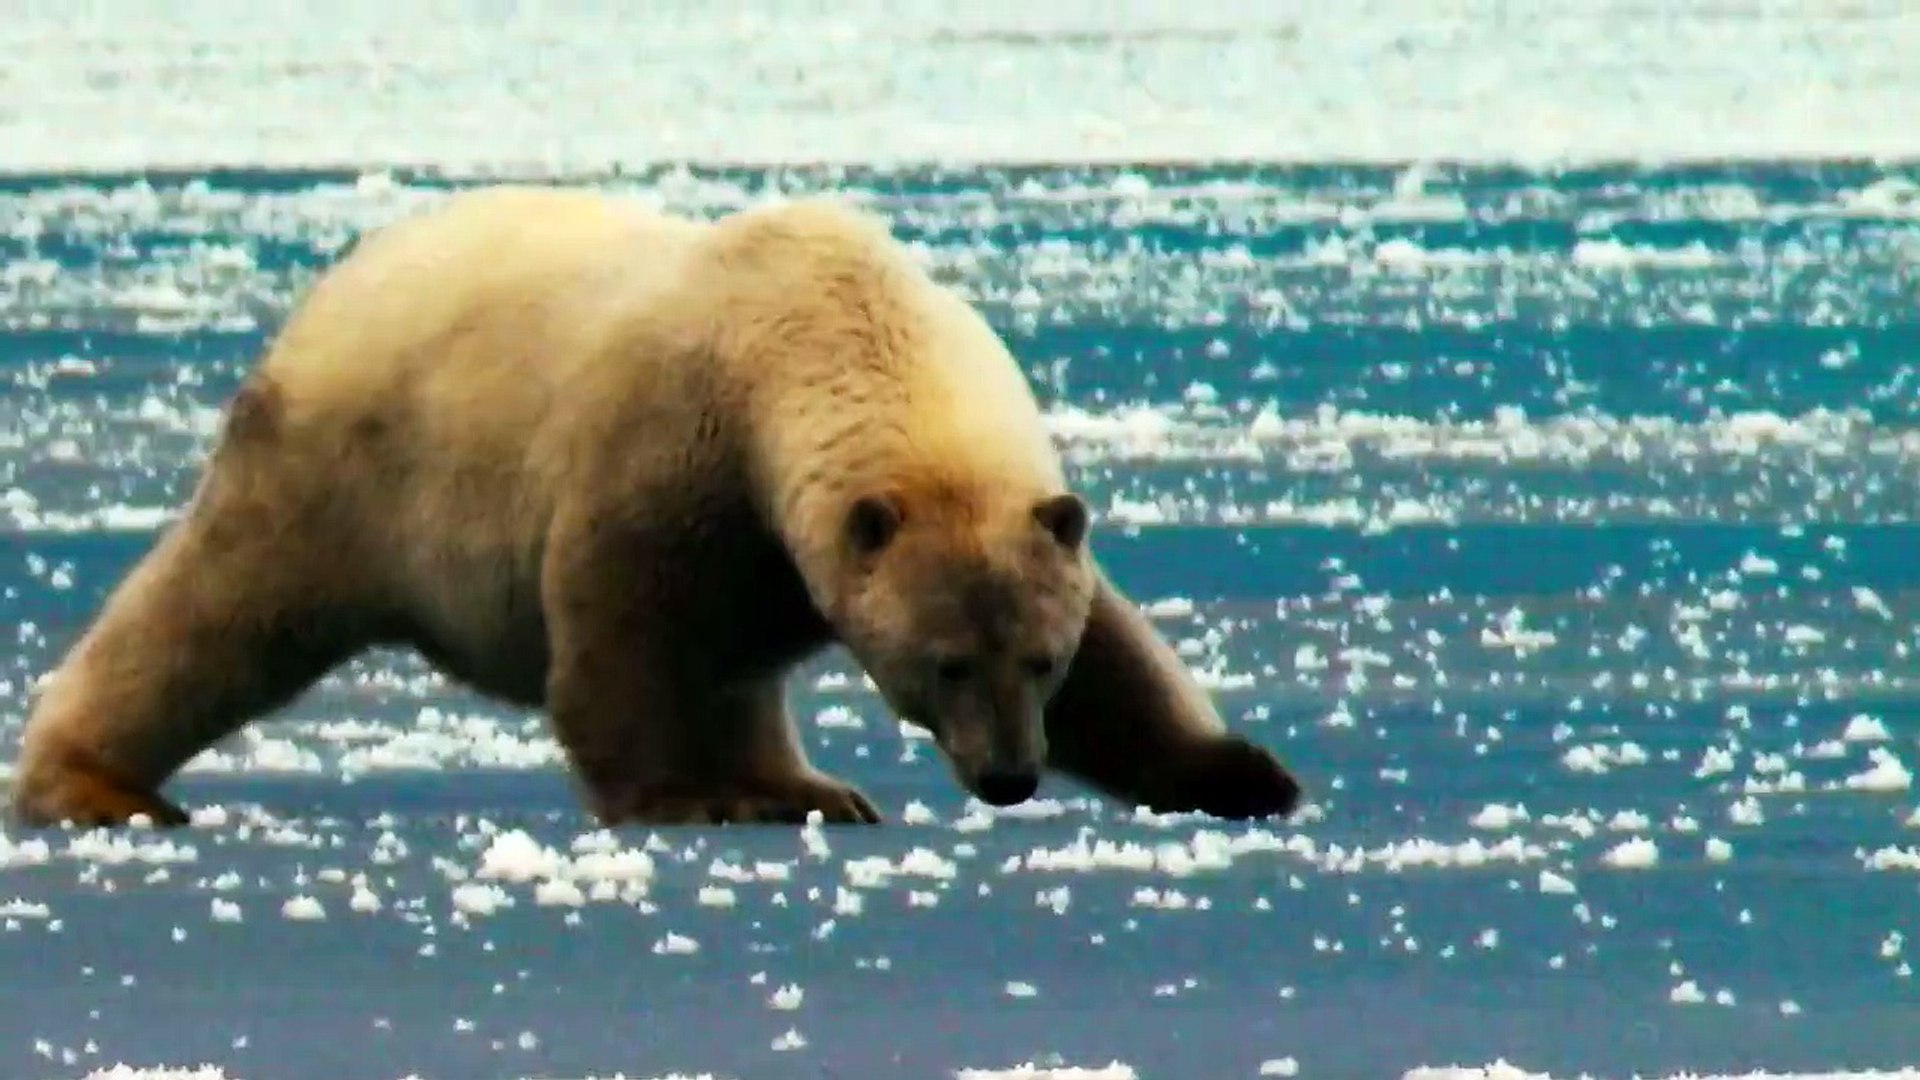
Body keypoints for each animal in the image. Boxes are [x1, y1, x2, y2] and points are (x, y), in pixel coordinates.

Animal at [8, 186, 1304, 829]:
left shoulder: (813, 521)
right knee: (212, 617)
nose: (1009, 777)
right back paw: (98, 787)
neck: (820, 328)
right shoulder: (670, 454)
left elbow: (1124, 656)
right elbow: (620, 642)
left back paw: (809, 788)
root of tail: (333, 281)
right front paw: (687, 798)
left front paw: (1246, 775)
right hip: (340, 469)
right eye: (943, 665)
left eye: (1036, 659)